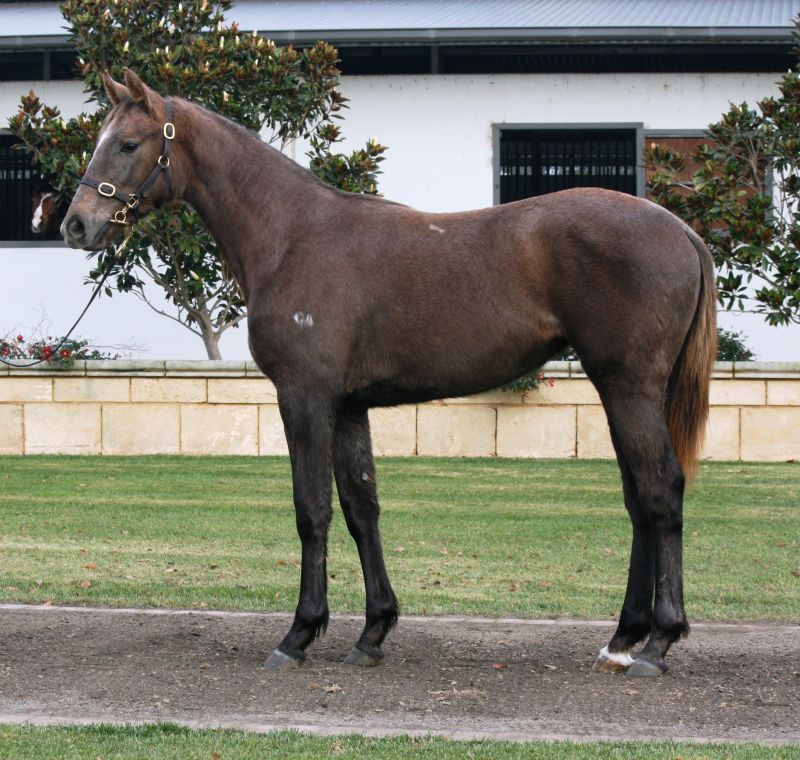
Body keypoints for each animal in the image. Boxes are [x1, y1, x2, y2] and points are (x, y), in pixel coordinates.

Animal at [61, 69, 716, 678]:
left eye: (127, 143)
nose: (75, 224)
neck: (293, 235)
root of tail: (681, 229)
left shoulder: (305, 398)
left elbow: (312, 510)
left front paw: (299, 634)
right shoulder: (350, 405)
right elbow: (361, 508)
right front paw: (373, 631)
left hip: (629, 385)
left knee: (660, 489)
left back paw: (658, 642)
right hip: (619, 390)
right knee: (638, 498)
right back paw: (622, 638)